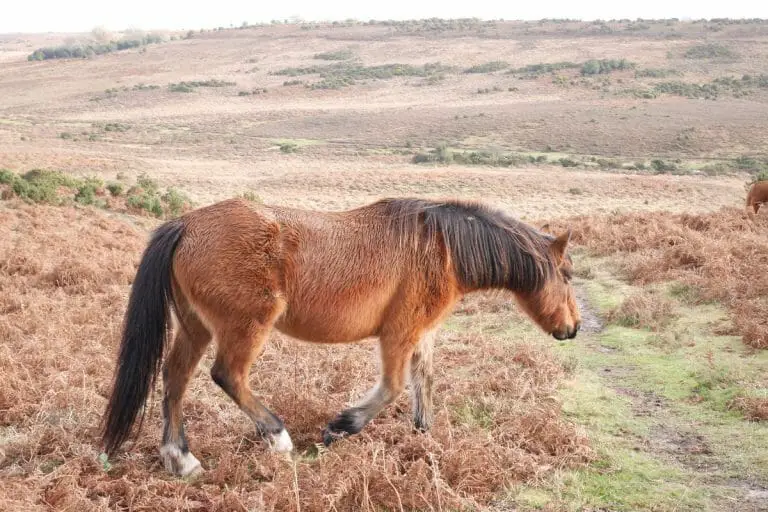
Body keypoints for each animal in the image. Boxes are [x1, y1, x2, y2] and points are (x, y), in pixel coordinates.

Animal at [100, 197, 581, 477]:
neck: (442, 248)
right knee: (228, 375)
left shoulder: (421, 333)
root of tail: (186, 224)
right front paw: (340, 427)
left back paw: (181, 459)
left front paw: (424, 438)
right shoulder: (398, 334)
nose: (572, 328)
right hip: (247, 326)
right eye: (569, 275)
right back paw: (278, 437)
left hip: (195, 326)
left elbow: (424, 383)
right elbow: (392, 387)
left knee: (175, 378)